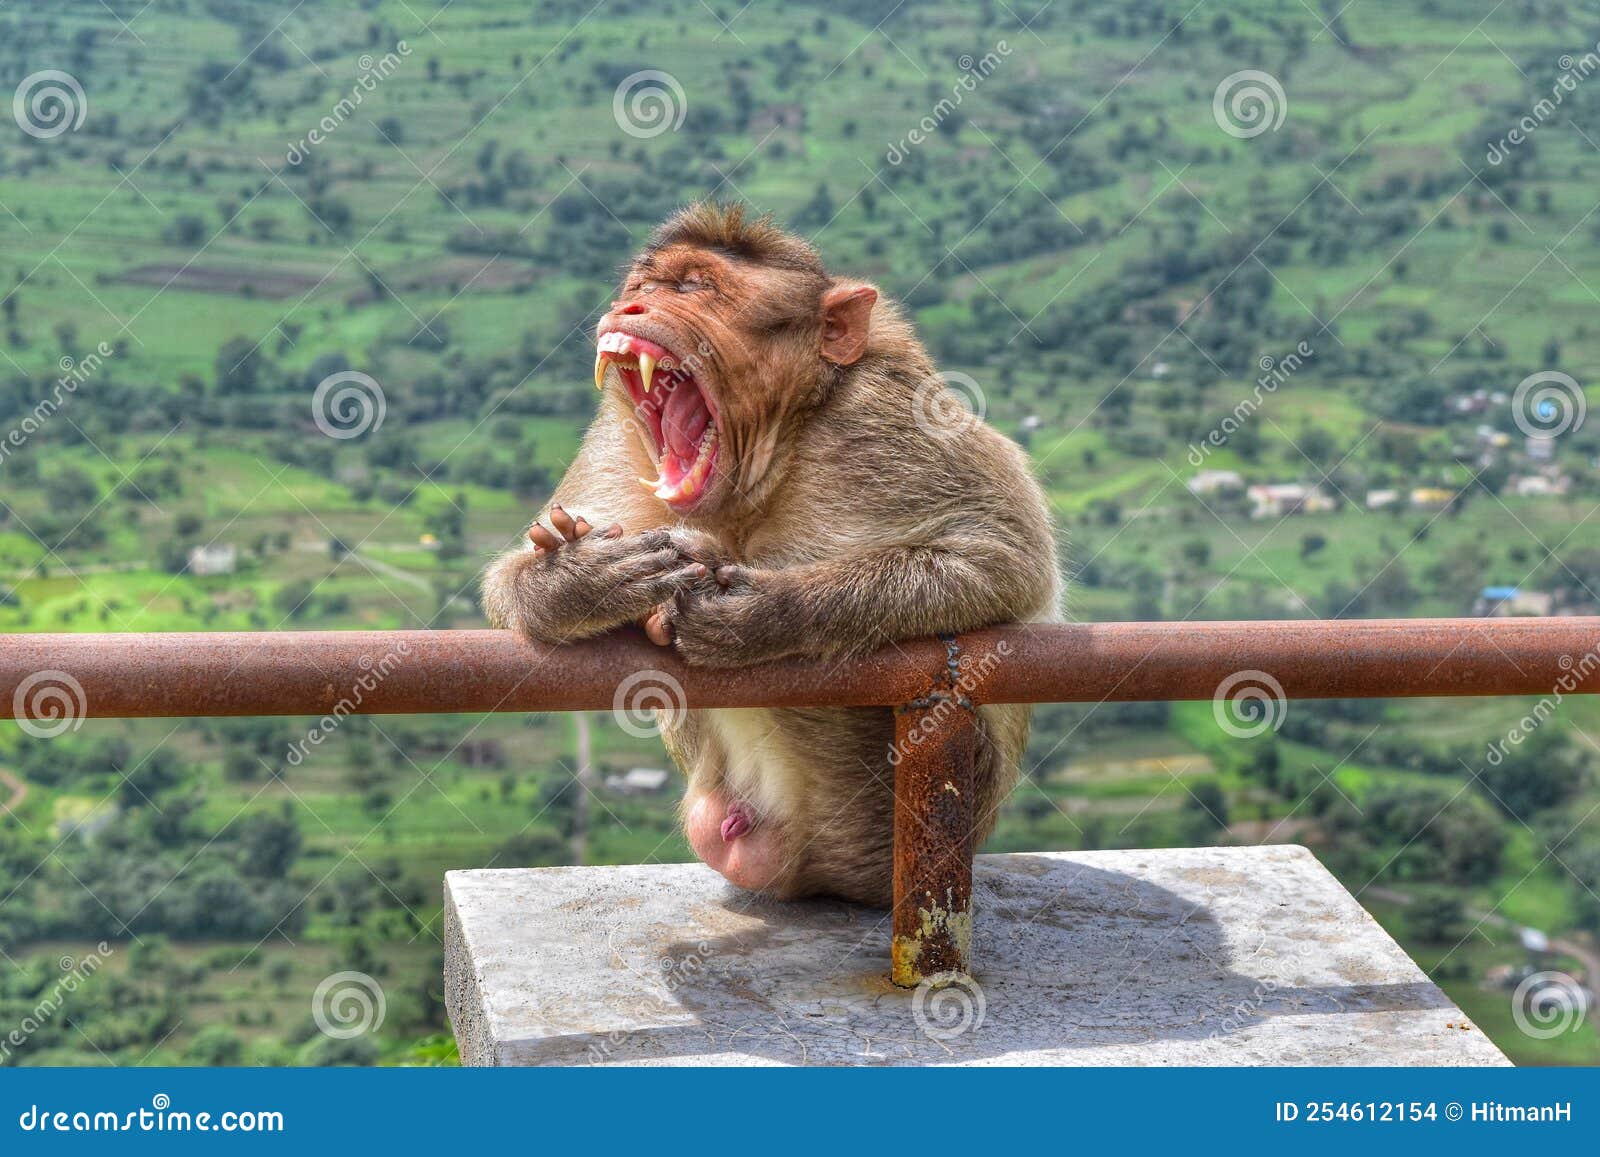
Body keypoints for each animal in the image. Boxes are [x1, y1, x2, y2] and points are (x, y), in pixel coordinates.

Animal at [481, 203, 1060, 907]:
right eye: (642, 287)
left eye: (694, 287)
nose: (631, 309)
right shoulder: (616, 441)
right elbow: (507, 578)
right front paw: (575, 578)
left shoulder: (886, 415)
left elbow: (1005, 558)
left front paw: (758, 616)